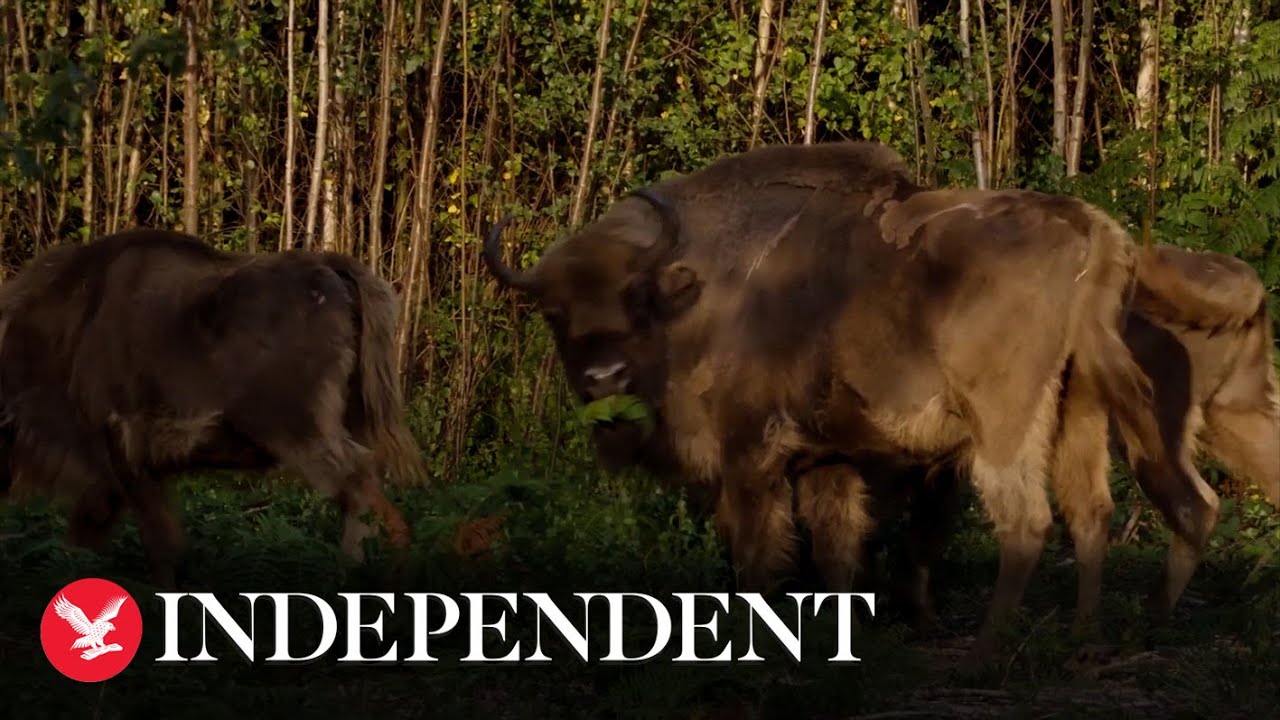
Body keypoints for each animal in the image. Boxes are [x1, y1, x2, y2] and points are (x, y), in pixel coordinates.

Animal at [482, 140, 1199, 662]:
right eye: (553, 313)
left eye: (635, 297)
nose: (604, 378)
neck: (695, 292)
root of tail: (1091, 230)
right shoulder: (826, 458)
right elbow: (835, 552)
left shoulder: (751, 458)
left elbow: (755, 553)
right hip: (1080, 407)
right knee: (1090, 512)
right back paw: (1082, 640)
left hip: (1005, 423)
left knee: (1026, 522)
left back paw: (984, 654)